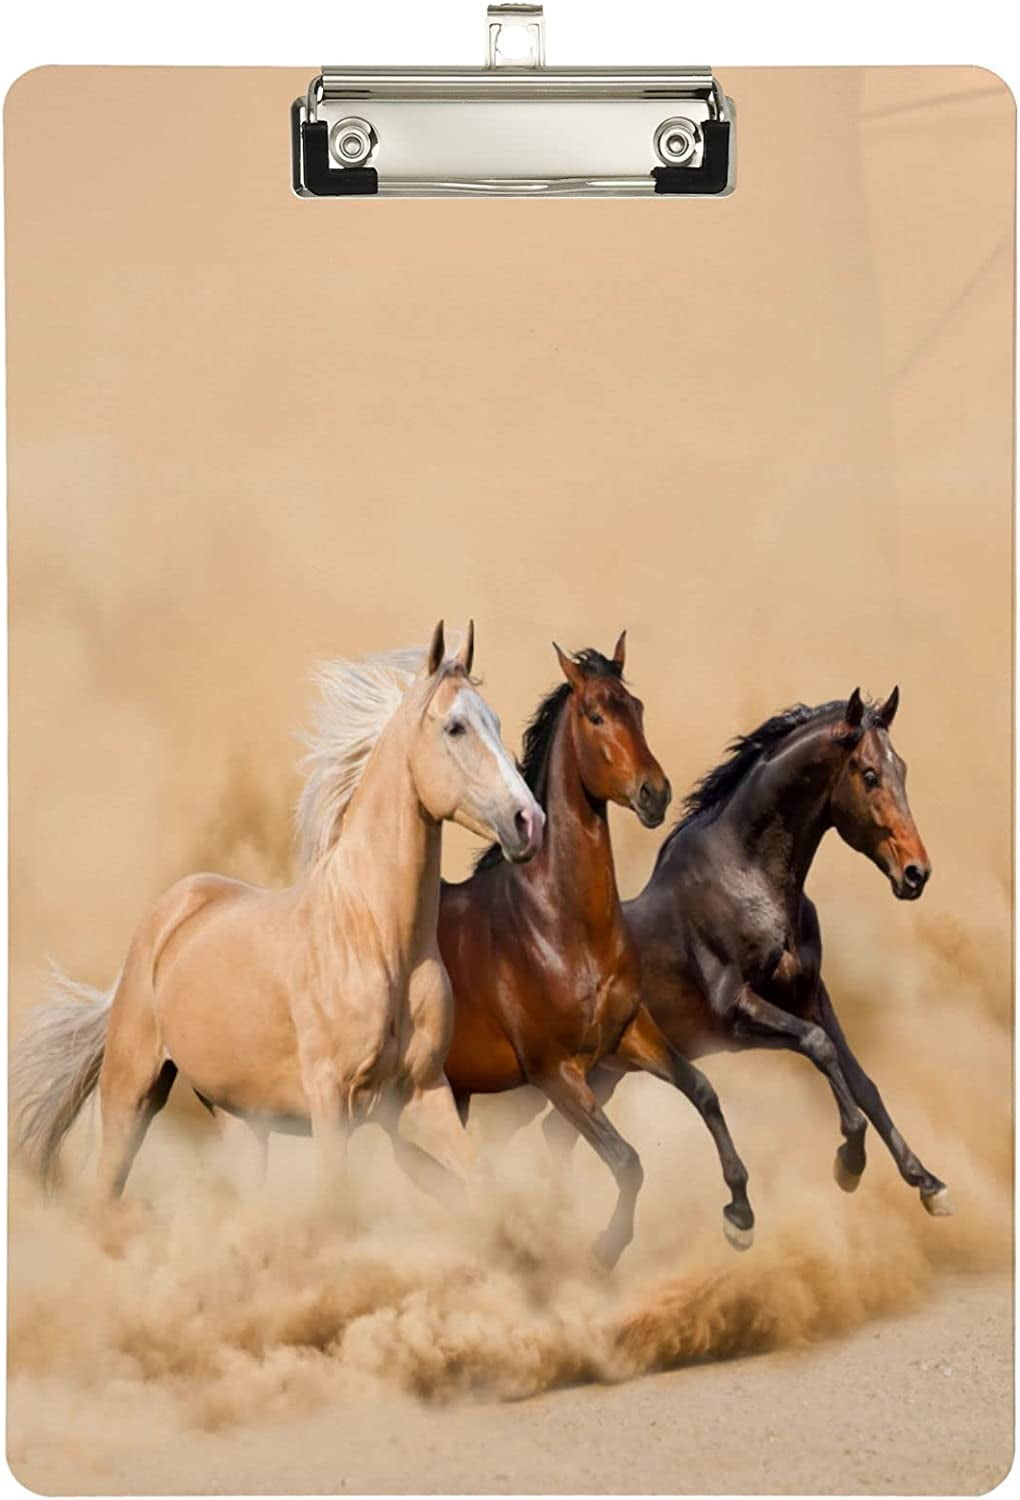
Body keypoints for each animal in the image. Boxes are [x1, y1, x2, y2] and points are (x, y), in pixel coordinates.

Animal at [13, 621, 545, 1204]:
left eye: (495, 721)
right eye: (455, 727)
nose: (529, 822)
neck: (378, 939)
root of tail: (172, 913)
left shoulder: (423, 1096)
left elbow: (481, 1183)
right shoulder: (332, 1101)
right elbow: (333, 1201)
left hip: (241, 1118)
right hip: (132, 1092)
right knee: (106, 1187)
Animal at [438, 635, 756, 1268]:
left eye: (637, 707)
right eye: (594, 715)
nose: (654, 793)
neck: (561, 928)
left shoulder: (628, 1034)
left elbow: (703, 1092)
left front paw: (739, 1214)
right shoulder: (555, 1074)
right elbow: (627, 1160)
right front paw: (605, 1249)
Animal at [548, 686, 952, 1218]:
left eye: (901, 769)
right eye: (869, 775)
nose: (916, 873)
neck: (749, 880)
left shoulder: (809, 997)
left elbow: (861, 1081)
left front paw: (927, 1182)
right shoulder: (737, 1013)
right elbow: (819, 1049)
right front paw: (849, 1160)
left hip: (602, 1075)